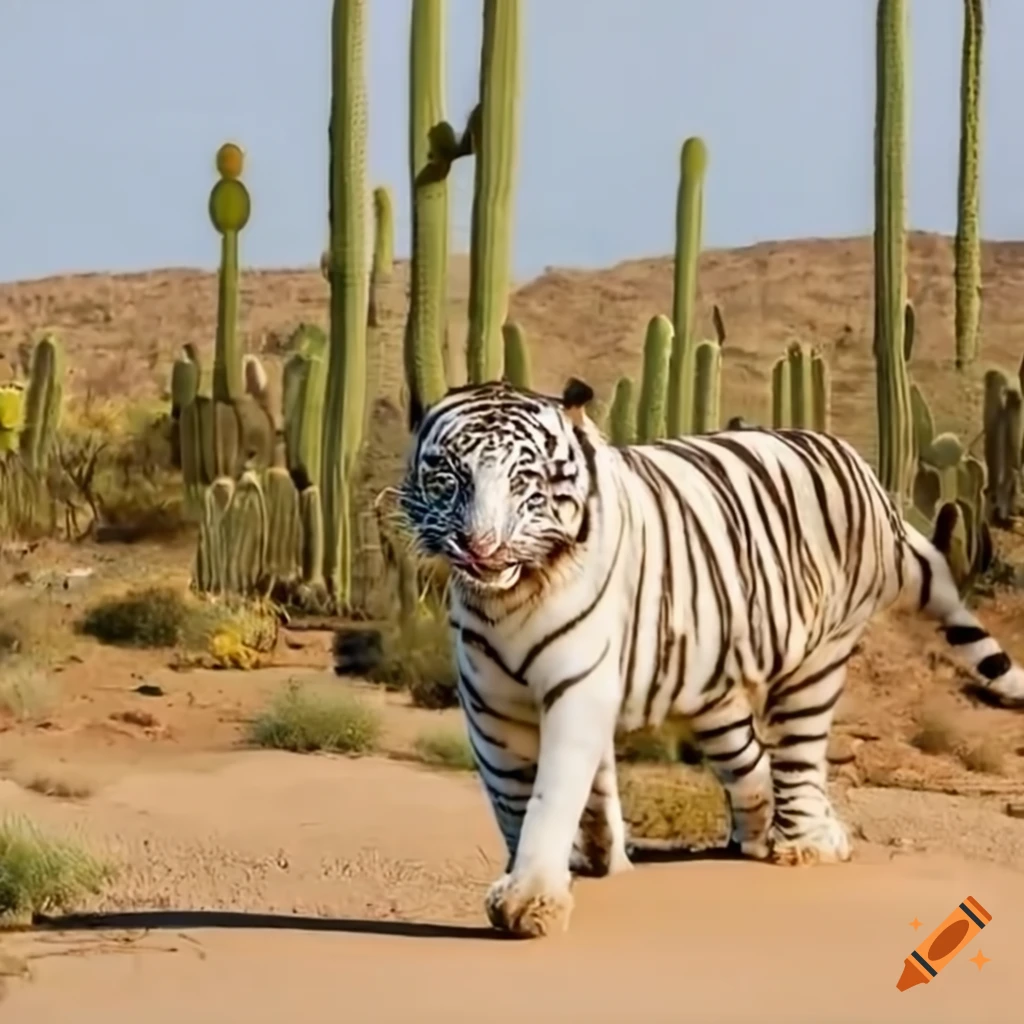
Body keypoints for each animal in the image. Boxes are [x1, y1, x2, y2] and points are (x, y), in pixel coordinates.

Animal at [392, 376, 1024, 939]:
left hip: (816, 662)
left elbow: (552, 794)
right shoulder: (489, 704)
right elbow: (514, 797)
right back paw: (760, 836)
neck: (510, 600)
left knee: (799, 758)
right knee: (753, 765)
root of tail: (864, 473)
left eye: (523, 478)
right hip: (713, 694)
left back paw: (807, 845)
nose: (482, 546)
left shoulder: (576, 685)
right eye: (451, 477)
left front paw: (533, 901)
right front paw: (580, 863)